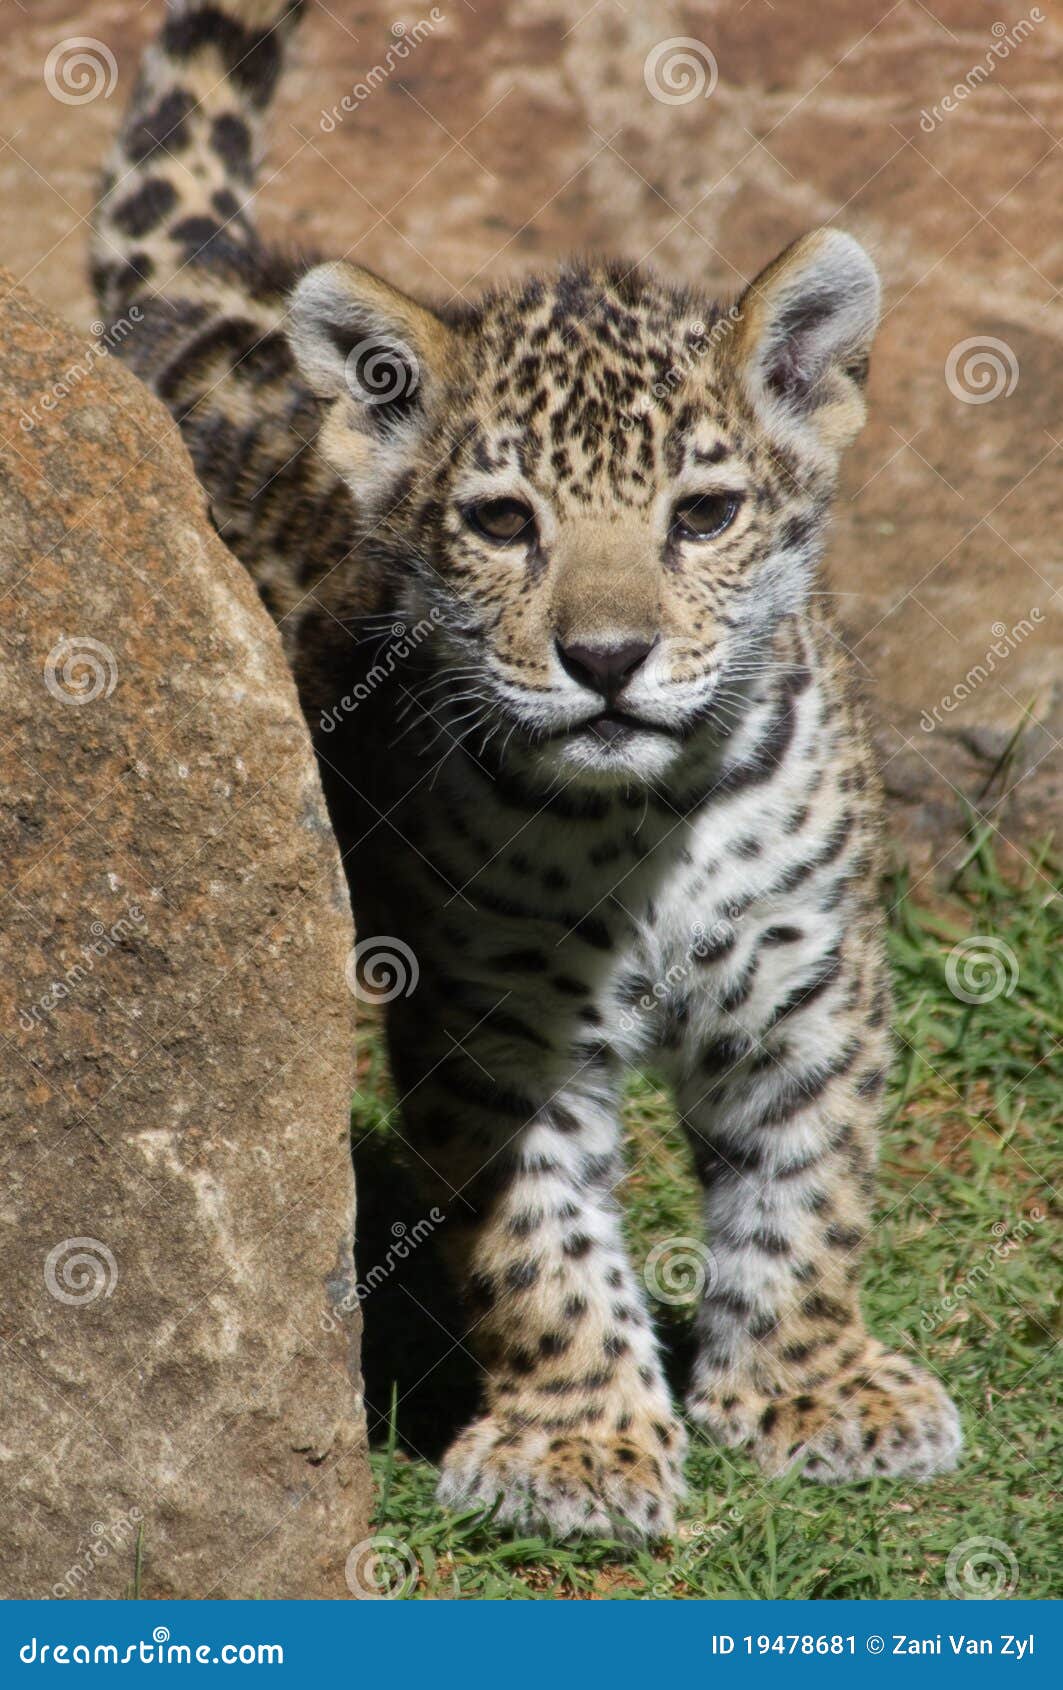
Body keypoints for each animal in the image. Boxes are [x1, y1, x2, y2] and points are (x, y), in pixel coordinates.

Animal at [91, 0, 962, 1541]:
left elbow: (804, 1191)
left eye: (703, 515)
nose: (605, 657)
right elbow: (534, 1239)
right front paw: (581, 1444)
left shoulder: (811, 982)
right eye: (502, 523)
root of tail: (207, 296)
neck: (646, 822)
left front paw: (810, 1390)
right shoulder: (485, 1018)